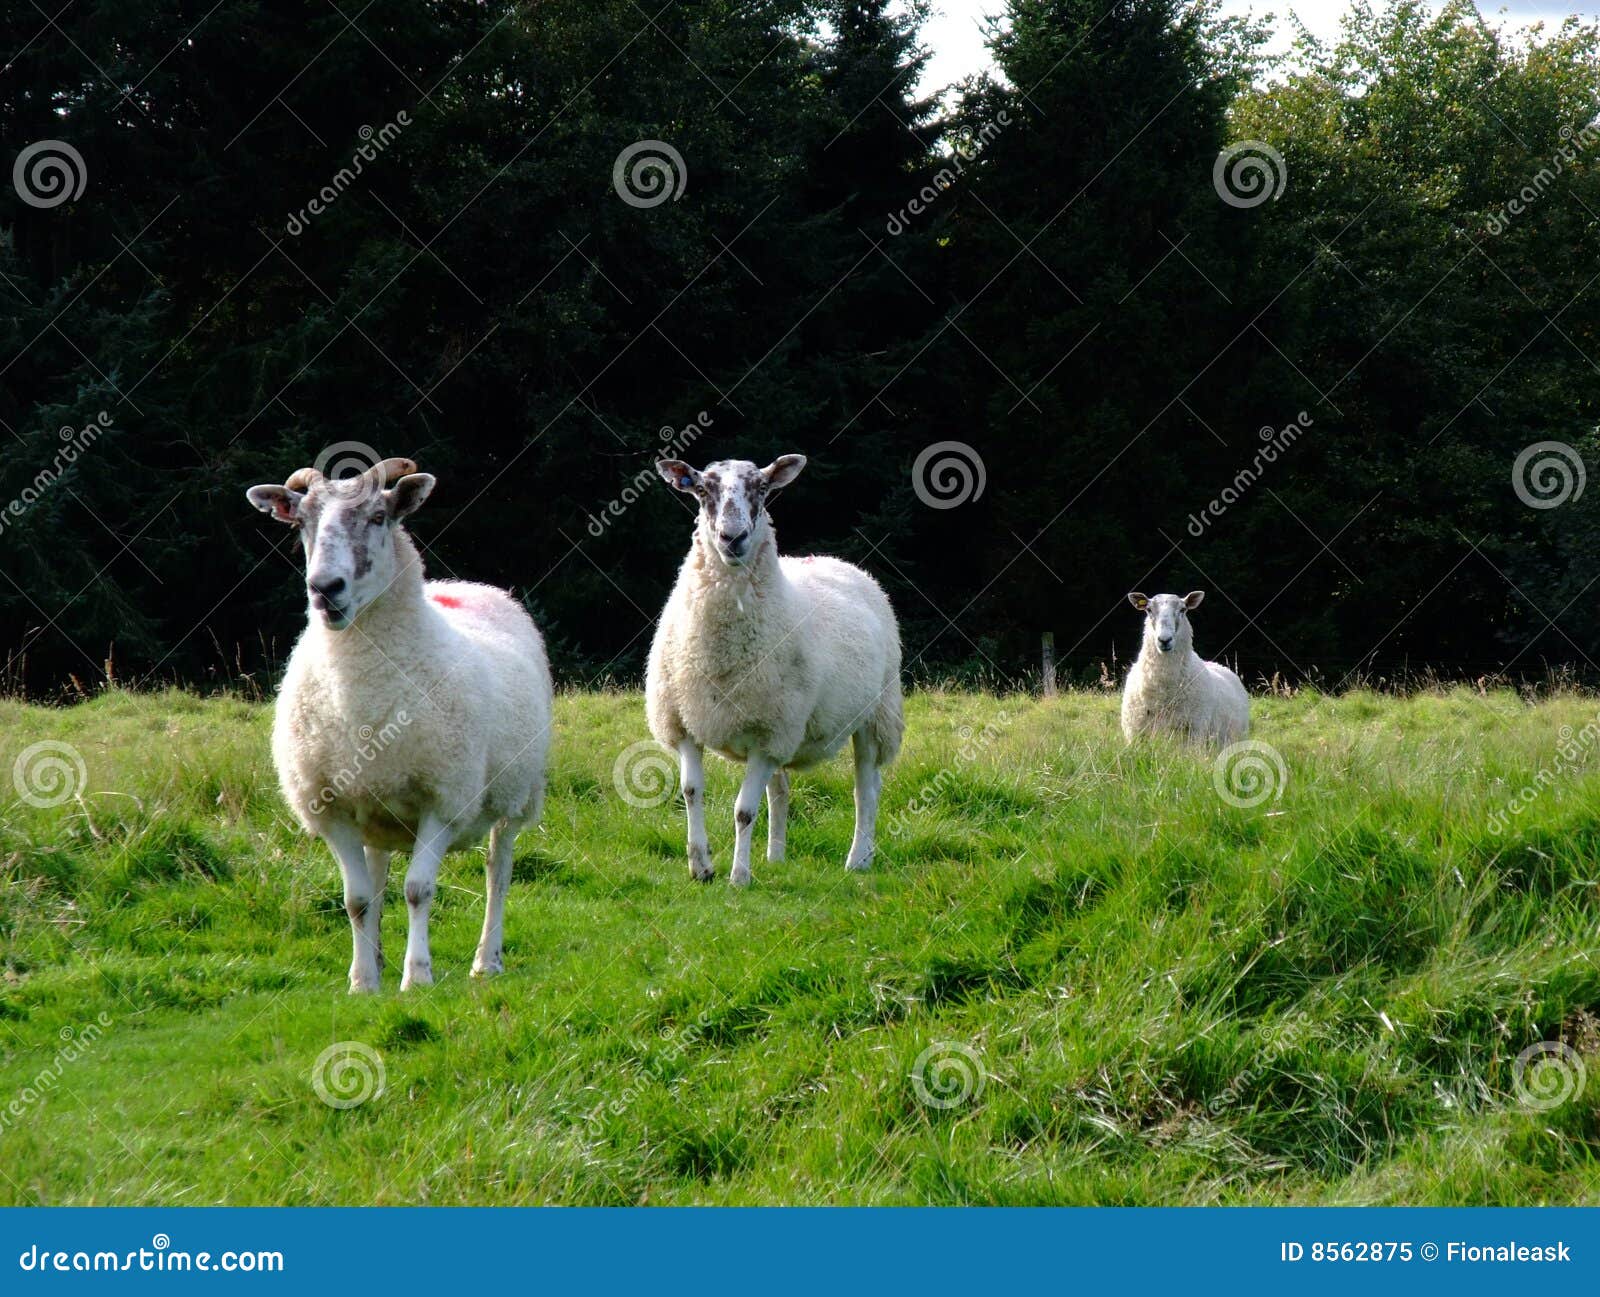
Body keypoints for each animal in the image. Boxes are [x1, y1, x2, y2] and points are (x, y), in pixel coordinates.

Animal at [245, 456, 552, 992]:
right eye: (302, 522)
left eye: (377, 517)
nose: (324, 590)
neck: (362, 690)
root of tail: (466, 587)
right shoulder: (332, 808)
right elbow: (357, 899)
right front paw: (363, 983)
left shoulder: (443, 800)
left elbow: (418, 889)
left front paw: (418, 977)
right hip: (375, 806)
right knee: (378, 877)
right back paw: (377, 958)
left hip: (515, 796)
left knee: (498, 869)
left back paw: (486, 960)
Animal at [645, 455, 903, 885]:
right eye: (701, 489)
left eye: (762, 489)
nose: (732, 538)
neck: (721, 649)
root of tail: (836, 562)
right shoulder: (686, 724)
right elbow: (691, 793)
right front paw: (701, 866)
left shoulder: (767, 736)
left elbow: (743, 811)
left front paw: (738, 877)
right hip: (784, 725)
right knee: (780, 791)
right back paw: (776, 857)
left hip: (874, 714)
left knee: (866, 789)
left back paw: (858, 859)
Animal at [1120, 591, 1249, 744]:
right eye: (1148, 609)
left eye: (1183, 609)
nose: (1164, 640)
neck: (1163, 692)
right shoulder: (1134, 735)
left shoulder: (1195, 733)